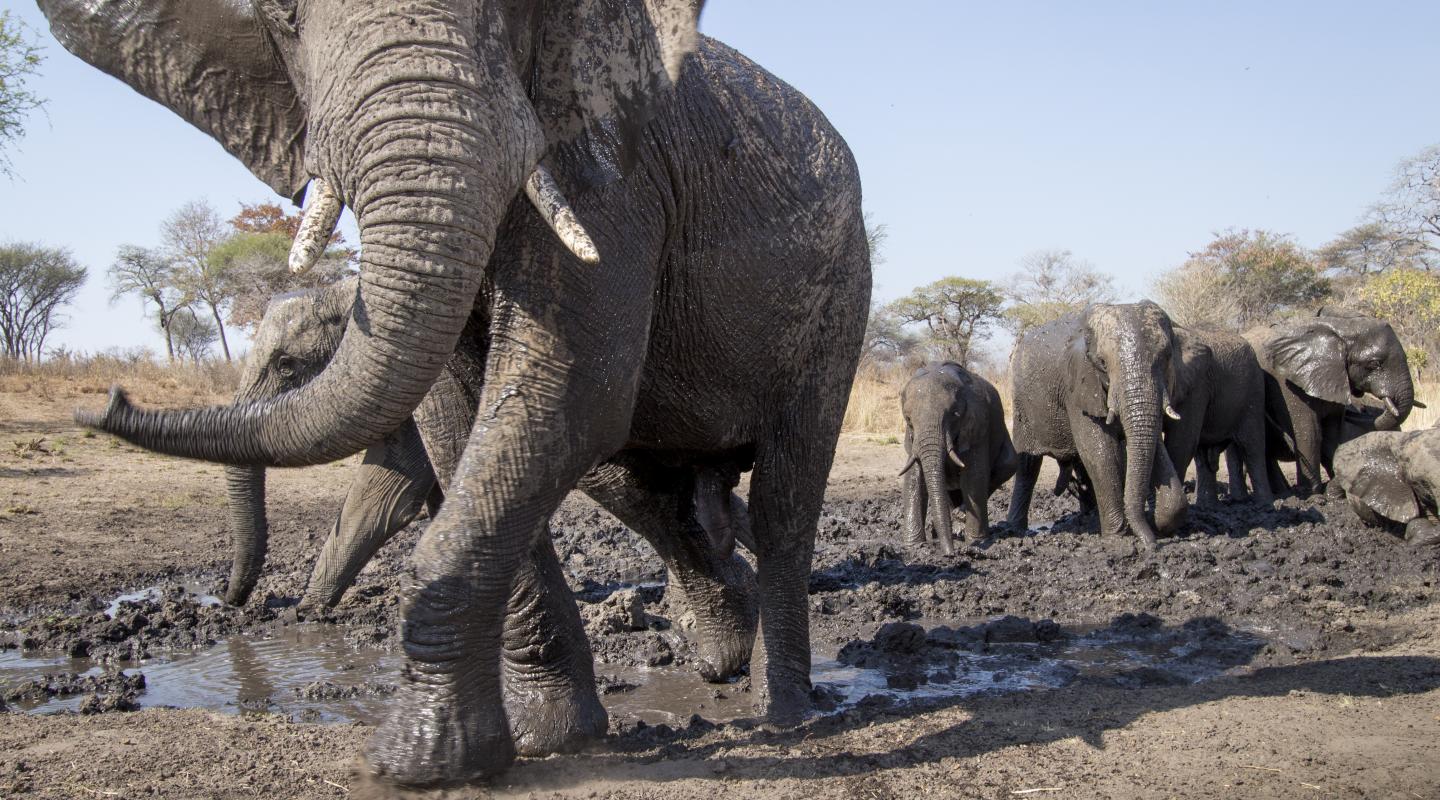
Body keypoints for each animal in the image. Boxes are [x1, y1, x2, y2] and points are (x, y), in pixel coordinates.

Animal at [50, 0, 870, 785]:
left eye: (286, 368)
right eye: (281, 17)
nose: (107, 402)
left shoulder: (612, 171)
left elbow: (562, 397)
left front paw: (422, 761)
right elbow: (460, 426)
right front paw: (544, 737)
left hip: (838, 297)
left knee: (784, 495)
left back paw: (784, 708)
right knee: (640, 487)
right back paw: (721, 652)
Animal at [898, 362, 1016, 551]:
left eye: (955, 415)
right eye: (908, 419)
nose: (950, 553)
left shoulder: (978, 426)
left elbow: (974, 477)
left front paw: (975, 541)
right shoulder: (912, 439)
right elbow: (914, 478)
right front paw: (914, 546)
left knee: (1007, 466)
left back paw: (959, 517)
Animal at [1007, 302, 1189, 549]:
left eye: (1167, 356)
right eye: (1102, 363)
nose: (1151, 545)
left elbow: (1153, 447)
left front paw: (1163, 526)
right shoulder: (1077, 387)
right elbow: (1100, 452)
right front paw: (1117, 538)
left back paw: (1088, 518)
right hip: (1022, 404)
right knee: (1028, 465)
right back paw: (1015, 529)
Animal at [1164, 326, 1273, 508]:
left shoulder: (1195, 387)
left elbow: (1181, 443)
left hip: (1254, 390)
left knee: (1252, 447)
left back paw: (1265, 505)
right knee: (1202, 455)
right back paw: (1207, 505)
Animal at [1246, 312, 1422, 495]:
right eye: (1374, 364)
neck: (1339, 327)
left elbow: (1332, 436)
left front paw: (1337, 489)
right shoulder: (1286, 383)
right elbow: (1310, 433)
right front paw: (1312, 494)